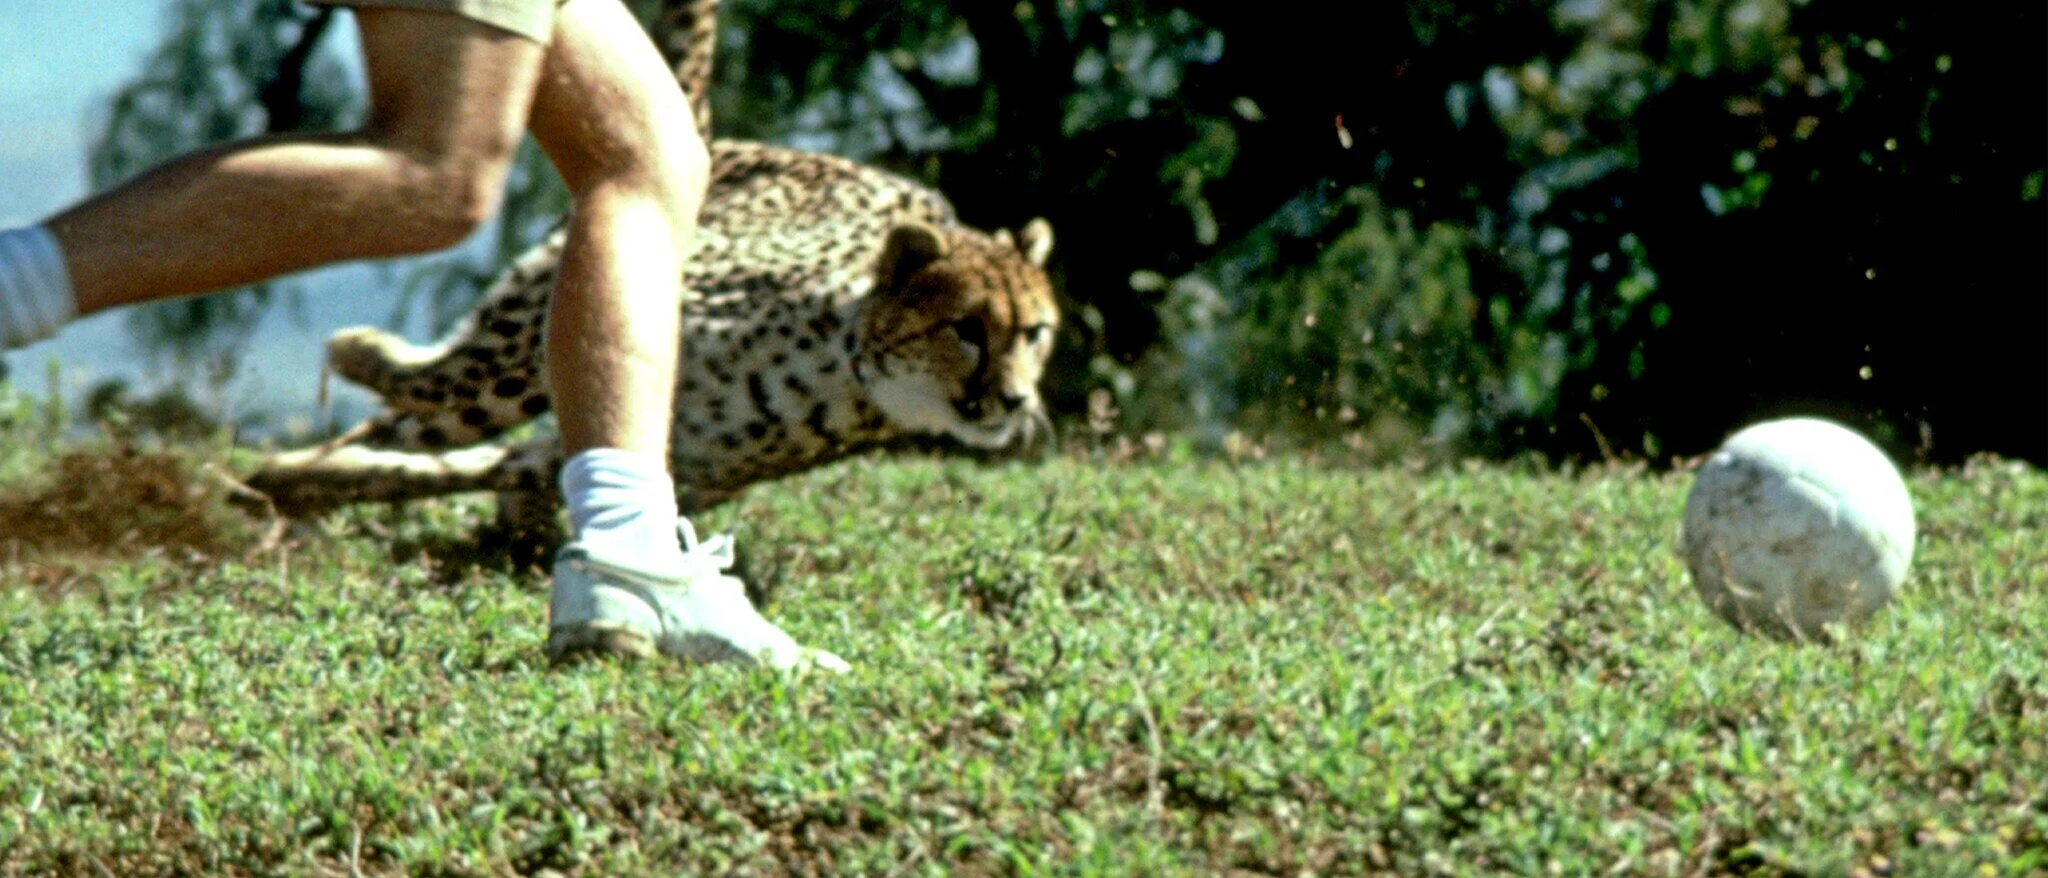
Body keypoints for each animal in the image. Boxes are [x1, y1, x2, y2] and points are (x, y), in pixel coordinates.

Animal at [243, 0, 1060, 527]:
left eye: (1036, 335)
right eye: (966, 328)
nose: (1016, 400)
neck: (850, 378)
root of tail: (714, 140)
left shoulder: (616, 454)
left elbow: (470, 470)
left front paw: (305, 479)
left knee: (422, 425)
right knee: (444, 388)